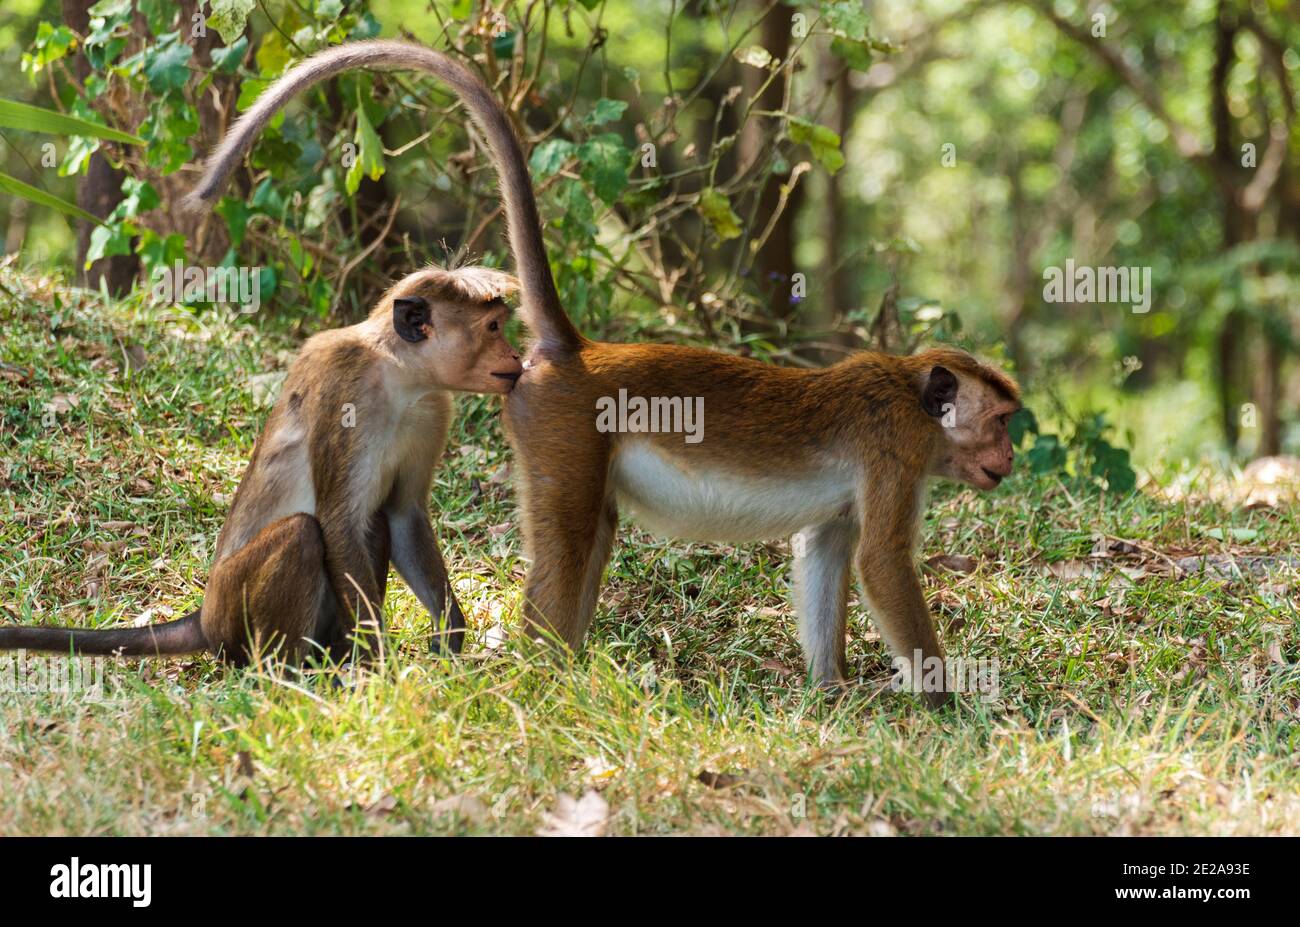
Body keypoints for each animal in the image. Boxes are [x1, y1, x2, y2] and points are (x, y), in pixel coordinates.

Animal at [0, 265, 524, 665]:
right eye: (493, 328)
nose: (516, 355)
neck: (399, 373)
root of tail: (205, 614)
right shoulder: (347, 383)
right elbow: (339, 520)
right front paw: (382, 670)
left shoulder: (432, 408)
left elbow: (402, 515)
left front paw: (449, 643)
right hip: (234, 608)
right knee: (303, 534)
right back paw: (282, 676)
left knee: (372, 523)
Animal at [179, 40, 1021, 705]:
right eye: (1004, 420)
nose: (1008, 458)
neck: (912, 395)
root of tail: (573, 351)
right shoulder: (897, 447)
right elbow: (883, 564)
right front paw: (947, 706)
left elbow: (825, 552)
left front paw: (830, 690)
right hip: (558, 431)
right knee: (573, 531)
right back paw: (543, 676)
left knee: (594, 529)